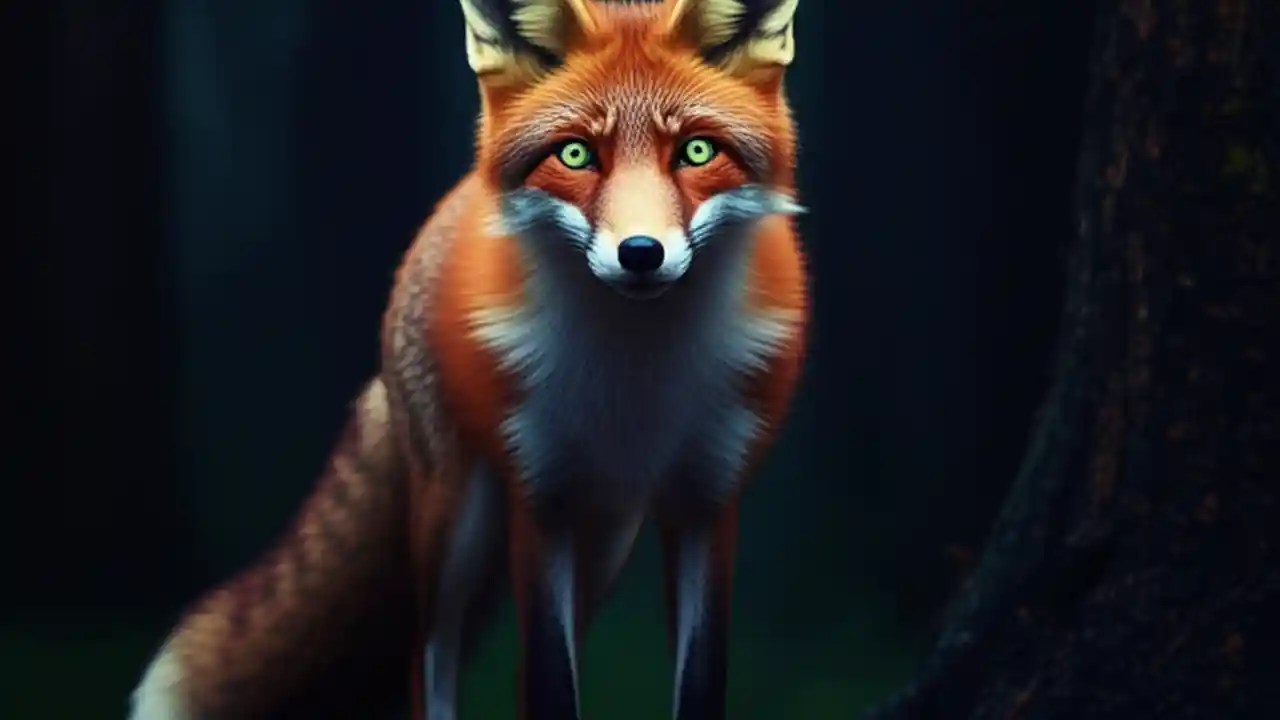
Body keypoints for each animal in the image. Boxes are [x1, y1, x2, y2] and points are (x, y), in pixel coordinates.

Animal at [129, 1, 807, 718]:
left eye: (696, 151)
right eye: (575, 154)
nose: (641, 253)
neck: (640, 376)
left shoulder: (709, 500)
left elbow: (692, 682)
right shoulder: (538, 500)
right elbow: (549, 684)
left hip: (604, 536)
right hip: (459, 521)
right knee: (429, 657)